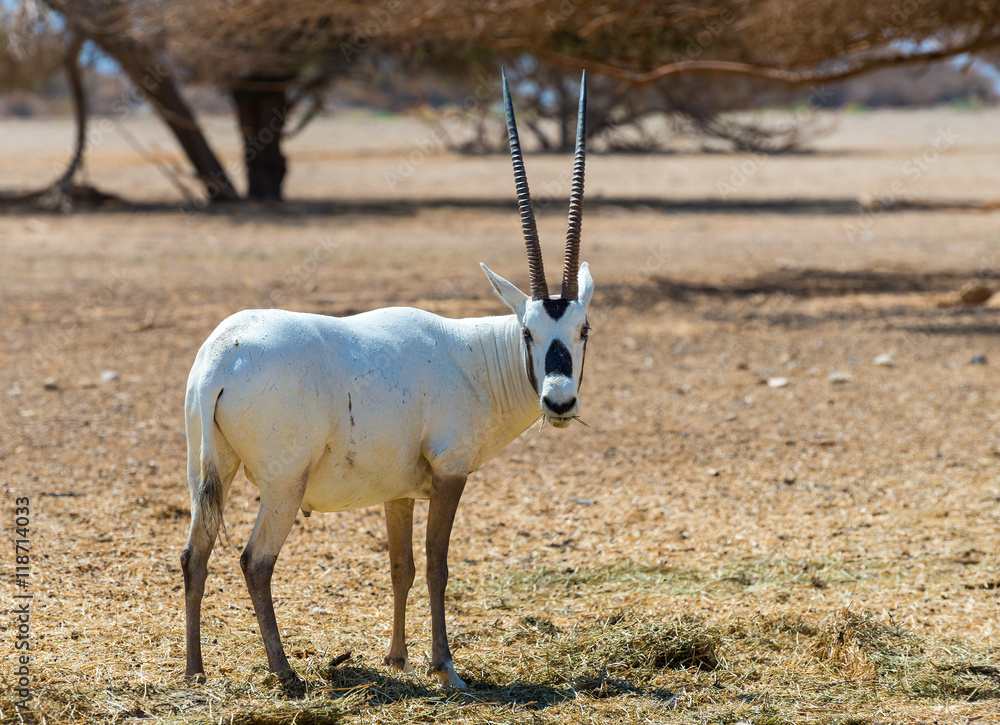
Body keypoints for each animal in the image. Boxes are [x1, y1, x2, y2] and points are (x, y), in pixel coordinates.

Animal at [181, 69, 593, 688]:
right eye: (529, 331)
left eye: (583, 328)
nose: (560, 401)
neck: (470, 356)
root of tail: (219, 362)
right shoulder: (449, 473)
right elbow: (438, 565)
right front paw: (446, 667)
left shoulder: (398, 491)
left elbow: (401, 567)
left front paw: (396, 657)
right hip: (283, 483)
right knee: (255, 561)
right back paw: (286, 674)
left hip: (210, 472)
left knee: (195, 555)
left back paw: (194, 671)